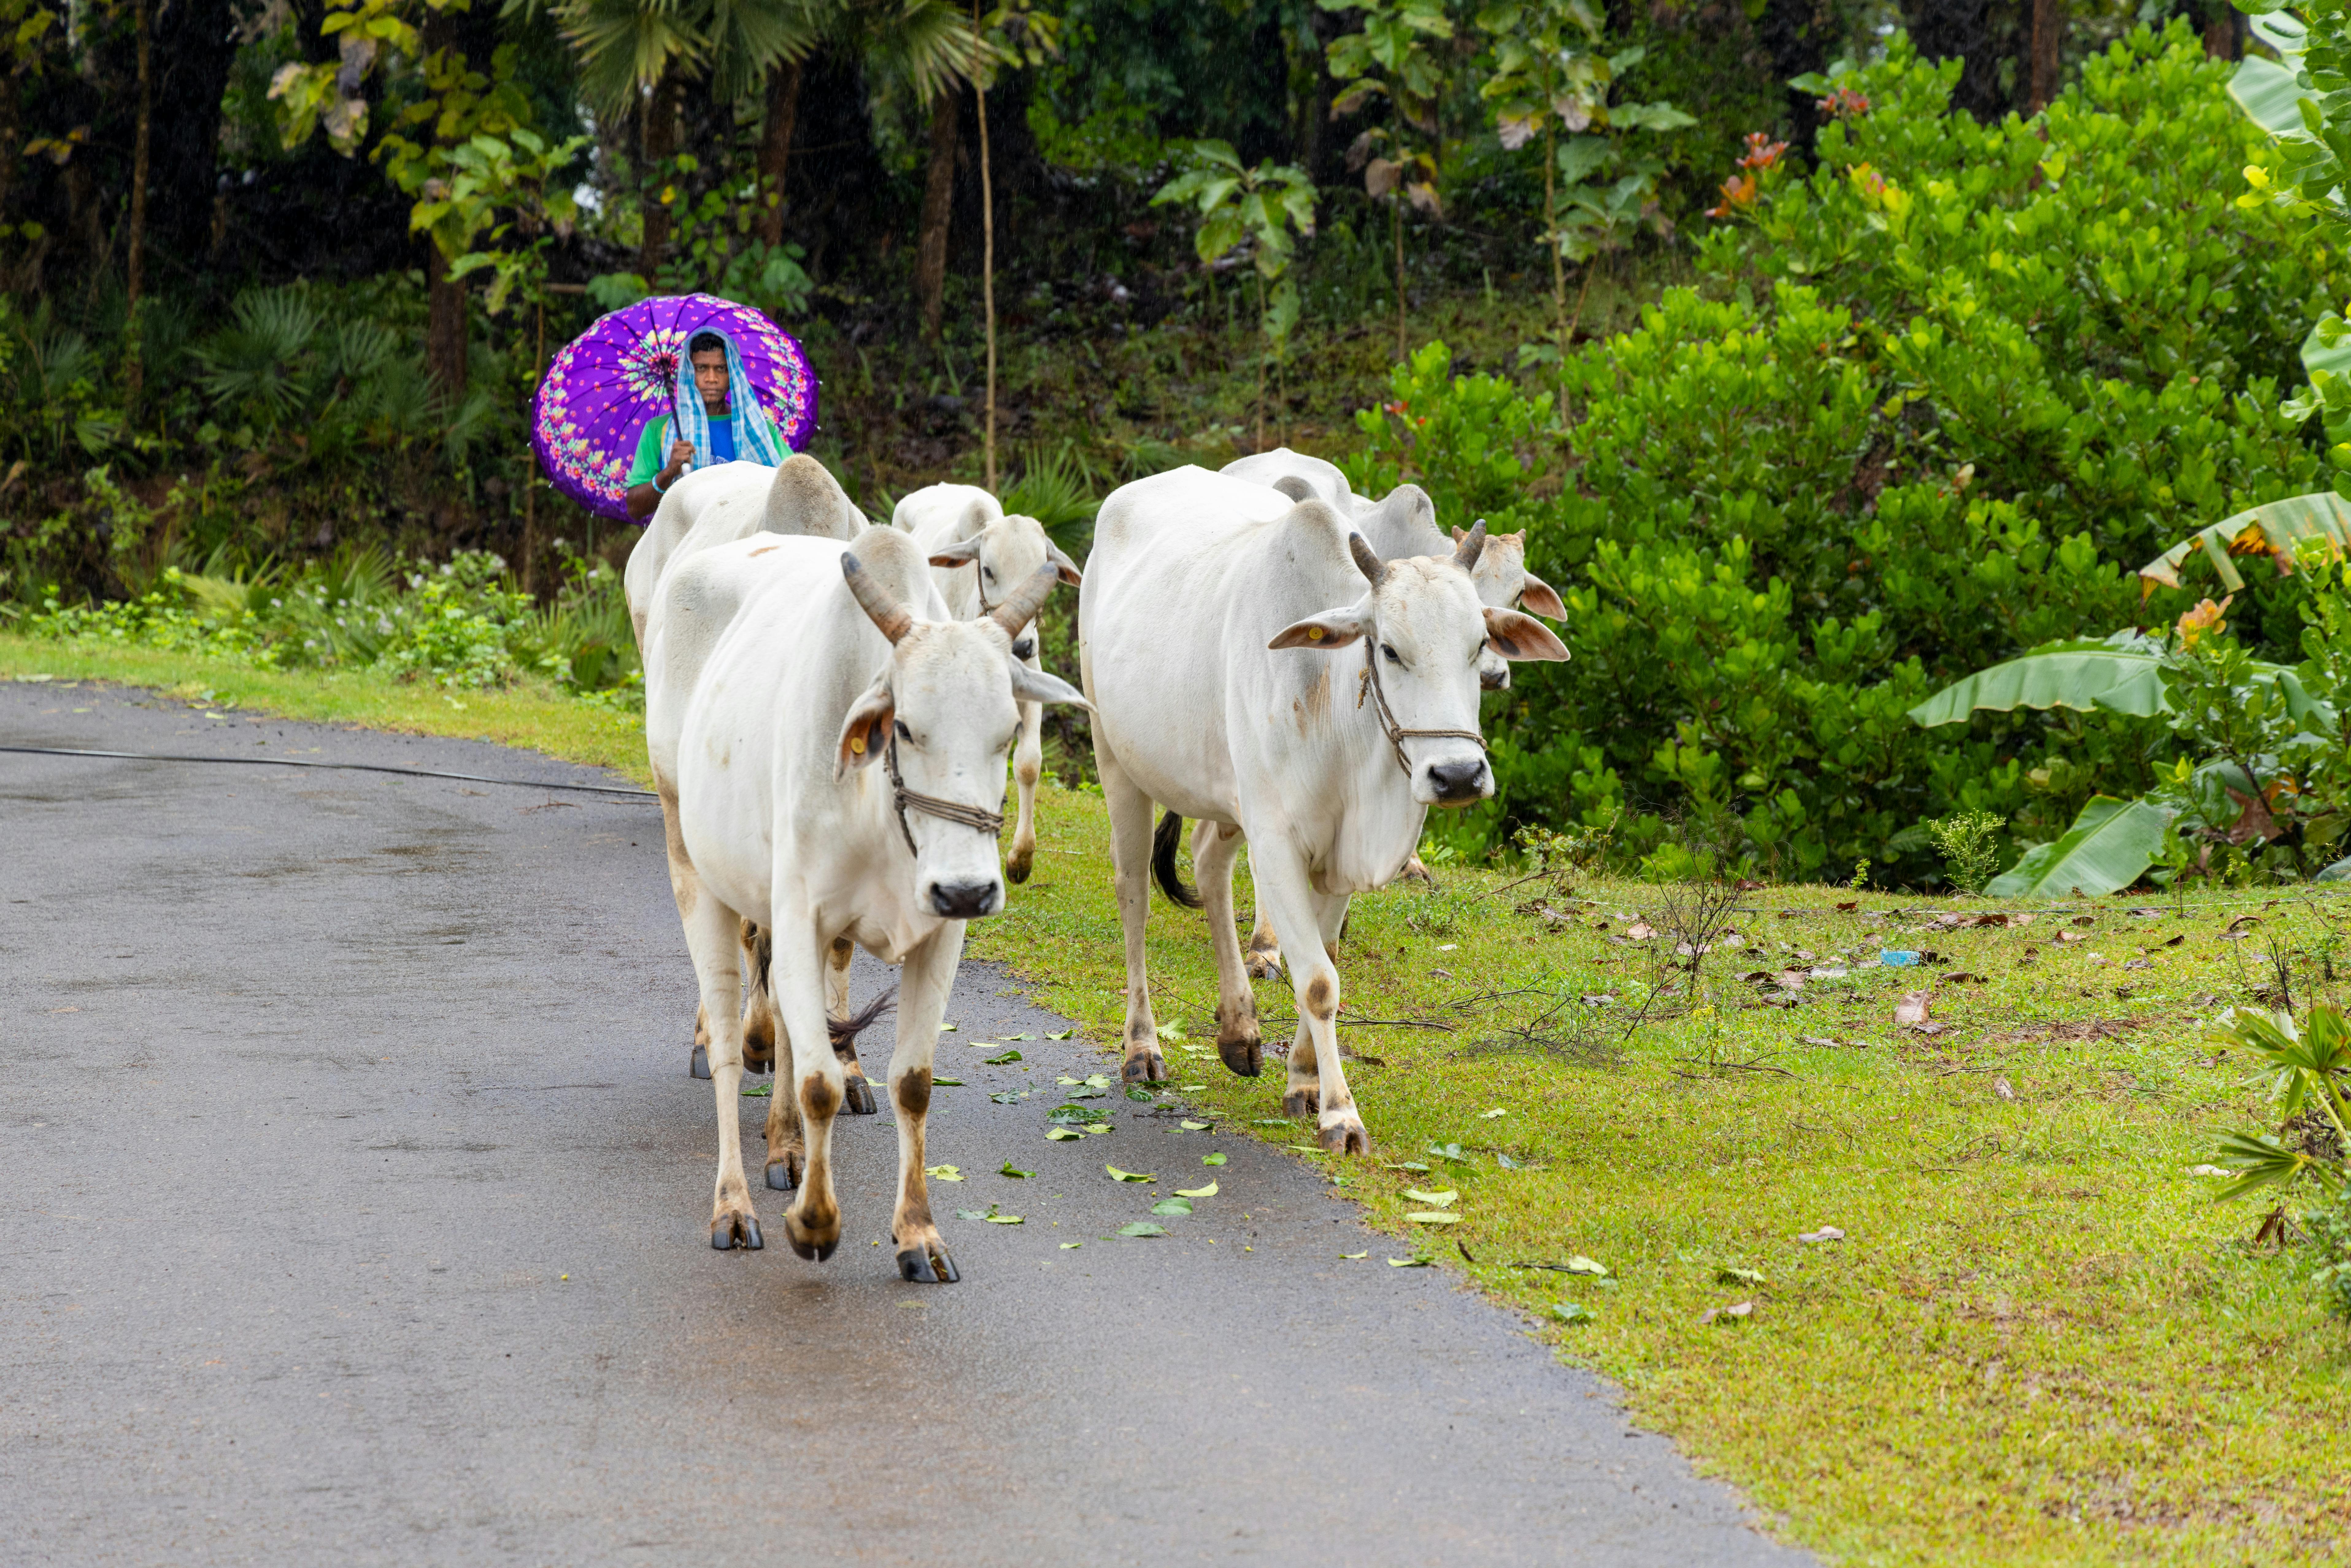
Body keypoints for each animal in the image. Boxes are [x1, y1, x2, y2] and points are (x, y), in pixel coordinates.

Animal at [1079, 467, 1567, 1153]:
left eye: (1478, 644)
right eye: (1388, 649)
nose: (1457, 775)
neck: (1331, 705)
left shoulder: (1336, 854)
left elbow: (1326, 959)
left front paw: (1304, 1081)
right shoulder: (1278, 840)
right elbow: (1315, 980)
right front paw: (1340, 1113)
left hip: (1228, 796)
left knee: (1207, 868)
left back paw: (1238, 1029)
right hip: (1117, 759)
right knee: (1134, 896)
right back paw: (1142, 1048)